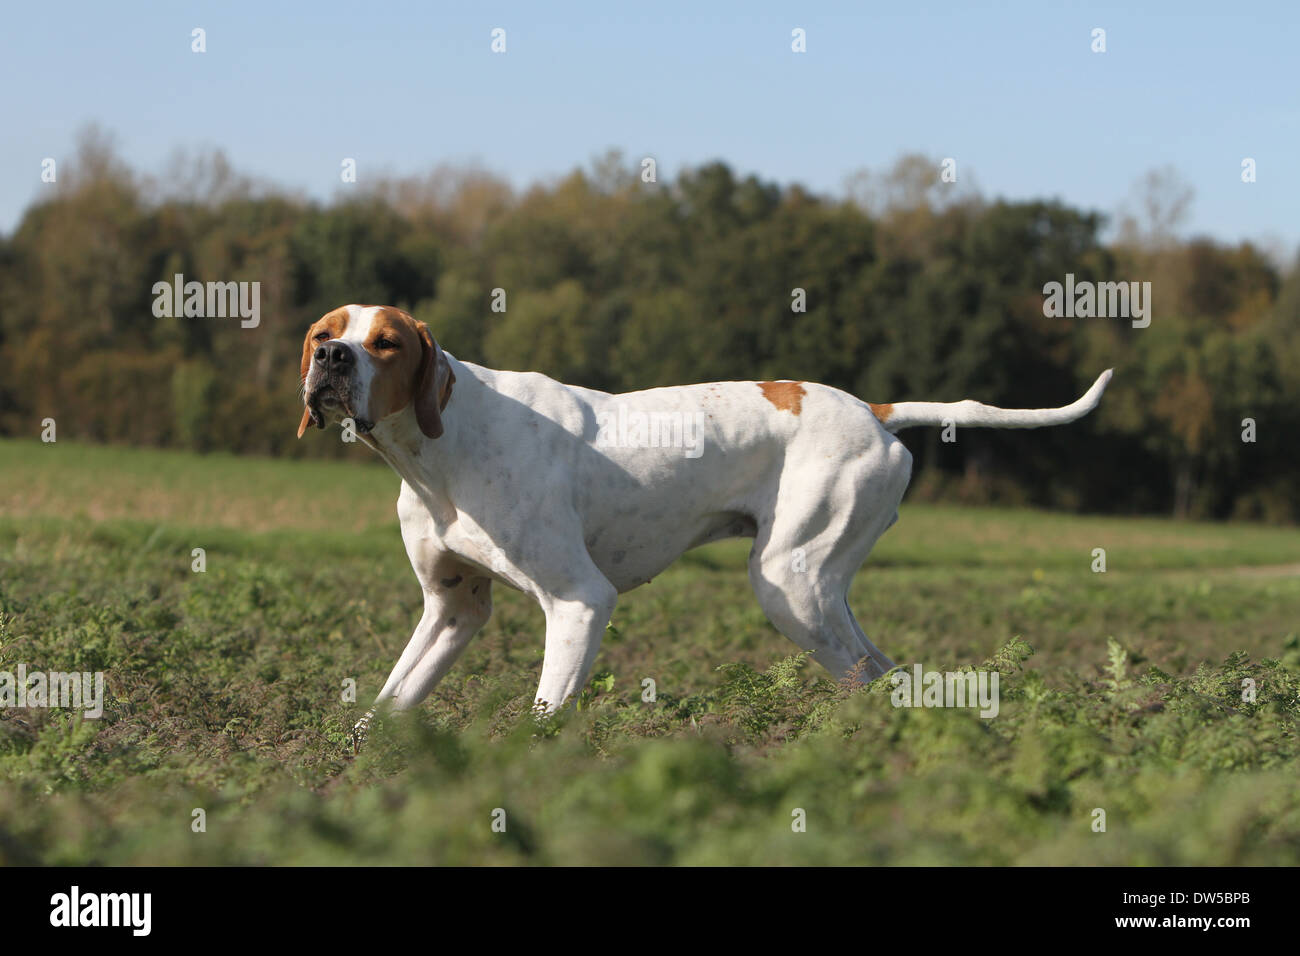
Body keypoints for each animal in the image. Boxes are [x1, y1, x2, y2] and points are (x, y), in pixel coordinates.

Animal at [299, 303, 1112, 743]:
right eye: (322, 334)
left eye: (387, 343)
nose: (333, 359)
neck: (442, 448)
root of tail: (873, 410)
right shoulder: (452, 610)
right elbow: (386, 705)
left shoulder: (579, 602)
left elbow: (543, 717)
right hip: (818, 592)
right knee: (887, 675)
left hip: (790, 586)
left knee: (867, 678)